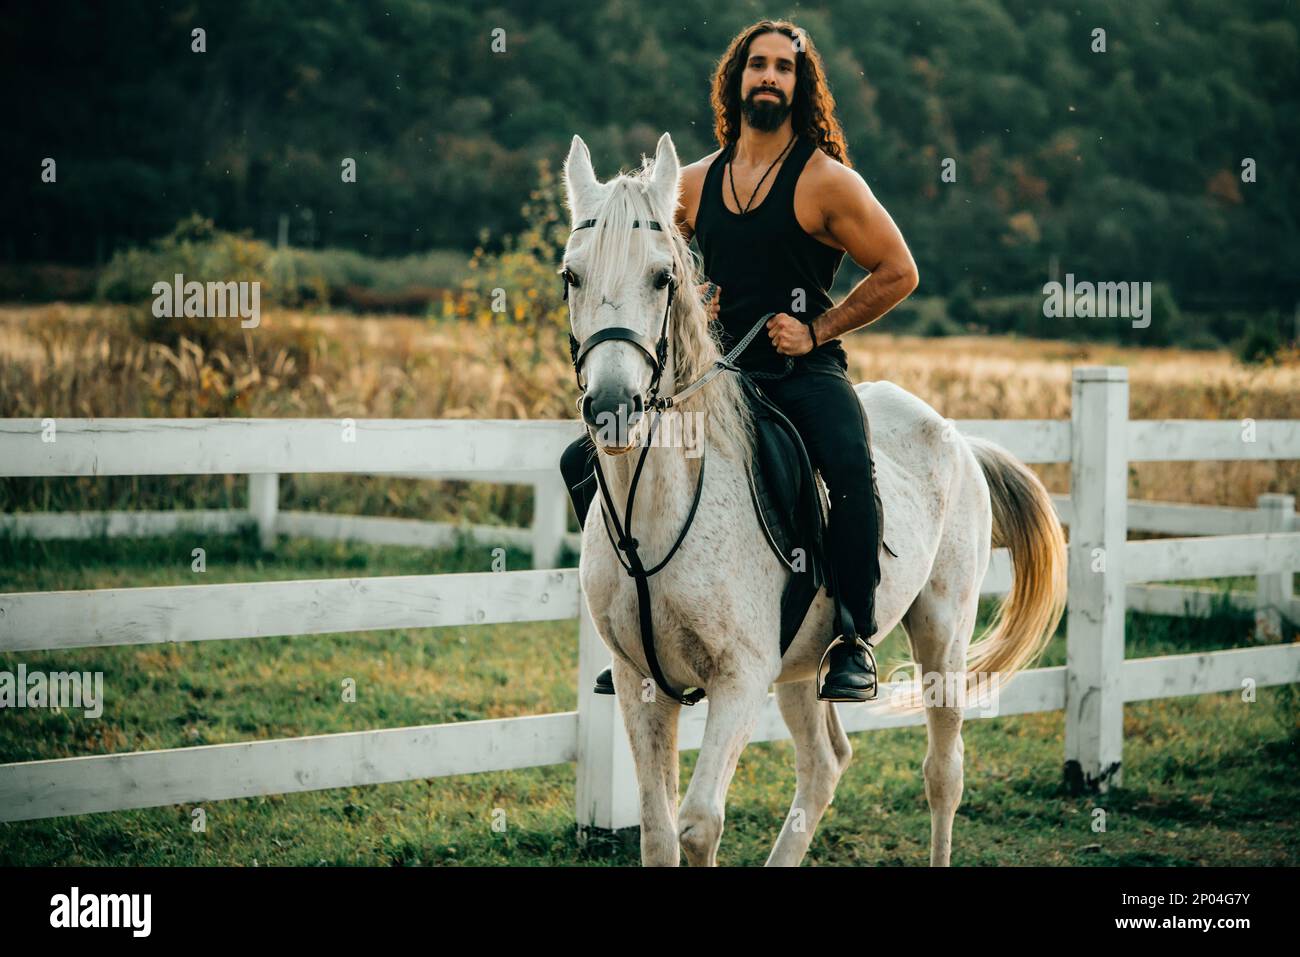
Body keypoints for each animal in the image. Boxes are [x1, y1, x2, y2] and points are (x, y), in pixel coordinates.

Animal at [561, 131, 1067, 866]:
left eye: (663, 277)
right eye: (572, 276)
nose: (612, 407)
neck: (655, 514)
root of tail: (959, 438)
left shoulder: (740, 681)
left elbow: (697, 824)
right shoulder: (639, 682)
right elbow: (658, 832)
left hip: (942, 635)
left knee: (943, 773)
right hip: (803, 669)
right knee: (825, 763)